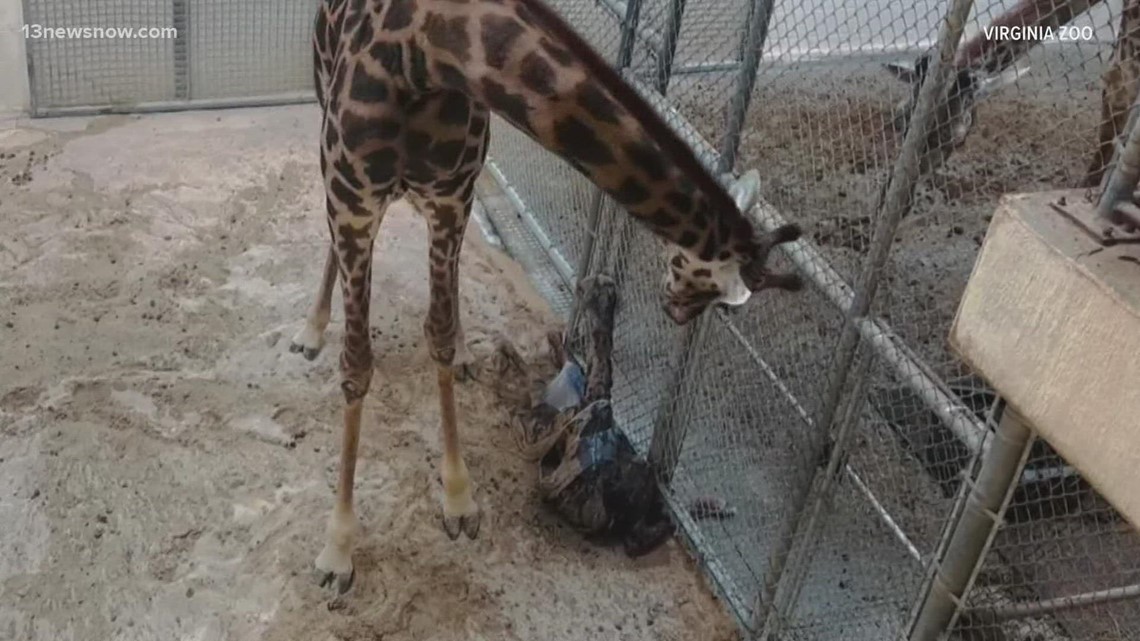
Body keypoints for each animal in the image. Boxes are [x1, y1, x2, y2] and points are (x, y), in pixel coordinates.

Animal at [290, 0, 805, 593]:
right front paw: (337, 551)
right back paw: (311, 330)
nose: (676, 311)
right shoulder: (354, 201)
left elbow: (436, 336)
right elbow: (356, 367)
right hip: (329, 130)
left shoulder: (450, 196)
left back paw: (462, 349)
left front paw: (459, 499)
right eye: (725, 299)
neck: (429, 56)